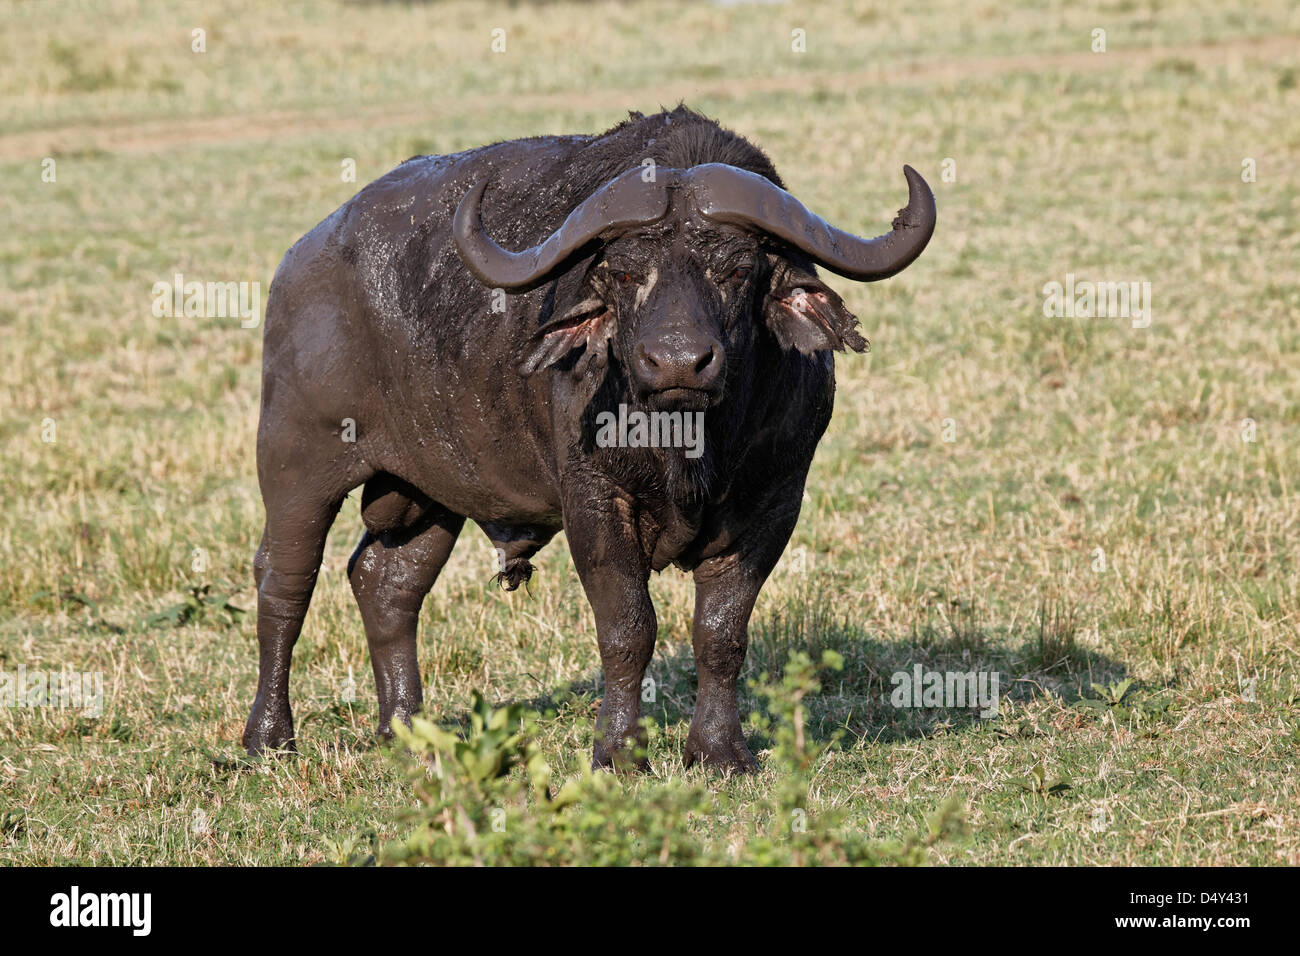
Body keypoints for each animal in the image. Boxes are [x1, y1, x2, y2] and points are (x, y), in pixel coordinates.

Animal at [243, 106, 935, 772]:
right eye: (625, 273)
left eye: (739, 269)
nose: (678, 362)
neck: (685, 440)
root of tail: (301, 260)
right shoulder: (595, 498)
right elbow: (628, 628)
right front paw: (619, 752)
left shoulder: (776, 497)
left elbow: (721, 632)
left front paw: (719, 752)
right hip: (295, 464)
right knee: (285, 583)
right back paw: (268, 739)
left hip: (428, 492)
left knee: (387, 584)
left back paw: (407, 732)